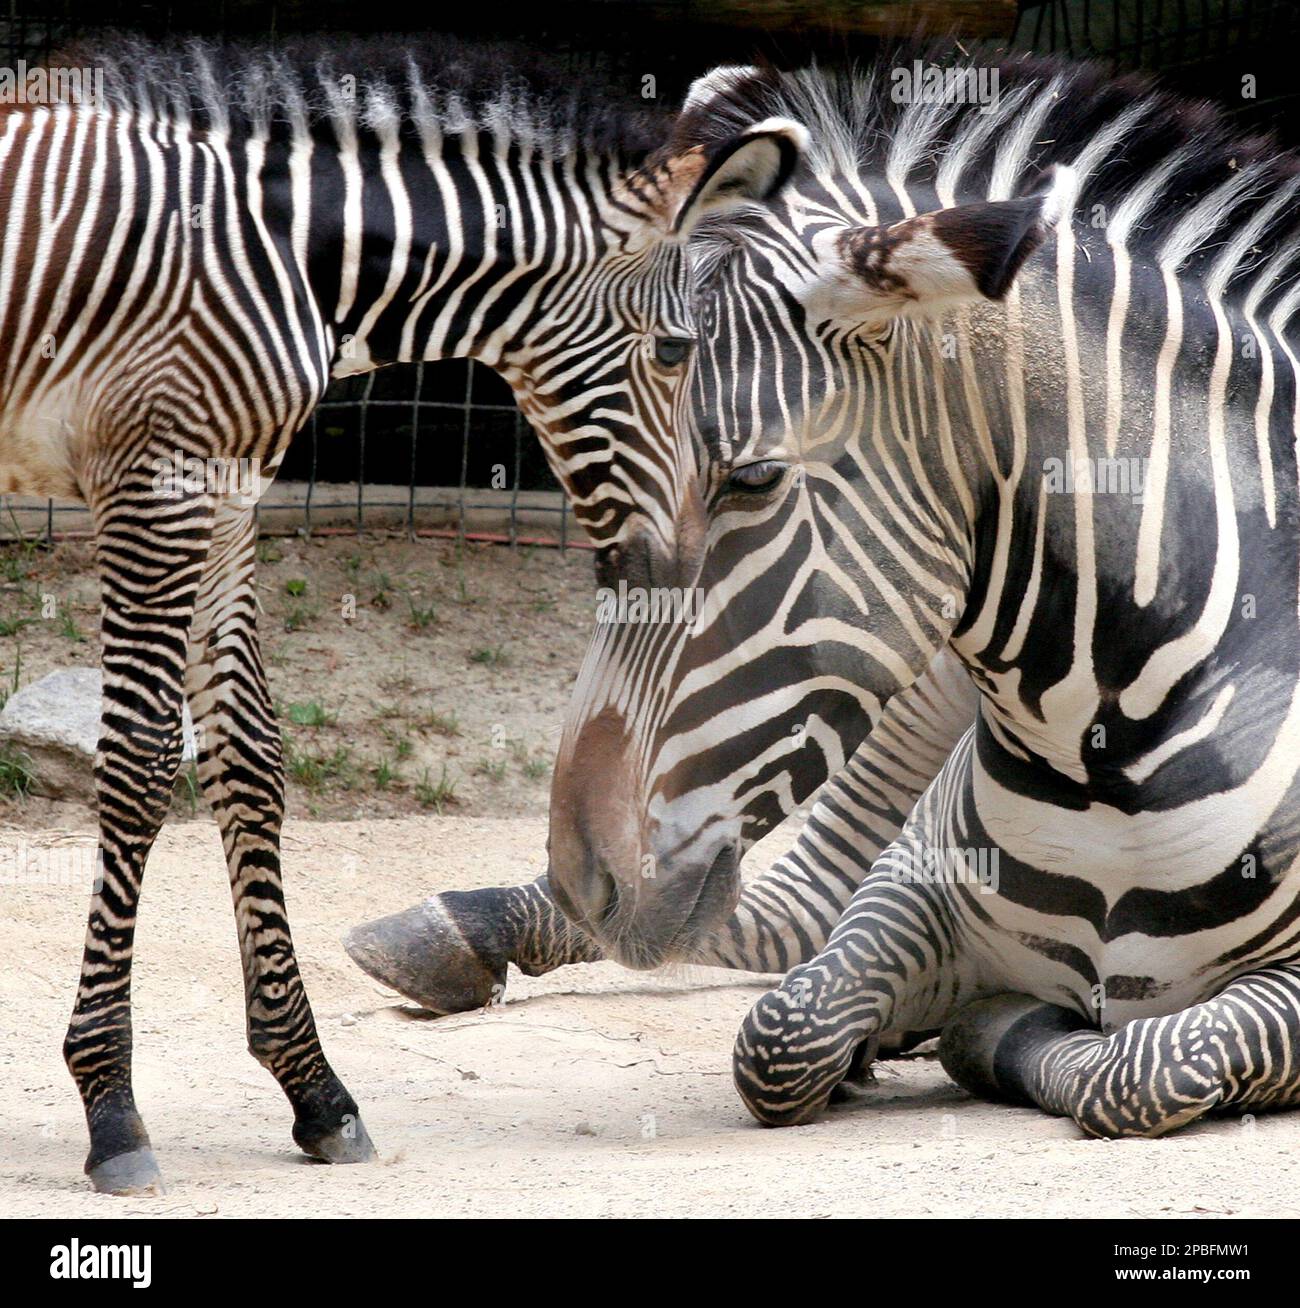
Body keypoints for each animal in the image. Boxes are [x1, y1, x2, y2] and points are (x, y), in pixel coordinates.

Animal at [5, 33, 803, 1193]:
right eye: (672, 351)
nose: (684, 563)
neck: (285, 257)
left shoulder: (228, 490)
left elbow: (248, 759)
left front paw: (313, 1089)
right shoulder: (159, 480)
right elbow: (146, 763)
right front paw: (110, 1103)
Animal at [536, 52, 1300, 1138]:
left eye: (751, 481)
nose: (581, 882)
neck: (1099, 760)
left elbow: (1142, 1067)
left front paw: (1002, 1037)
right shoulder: (914, 891)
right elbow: (783, 1033)